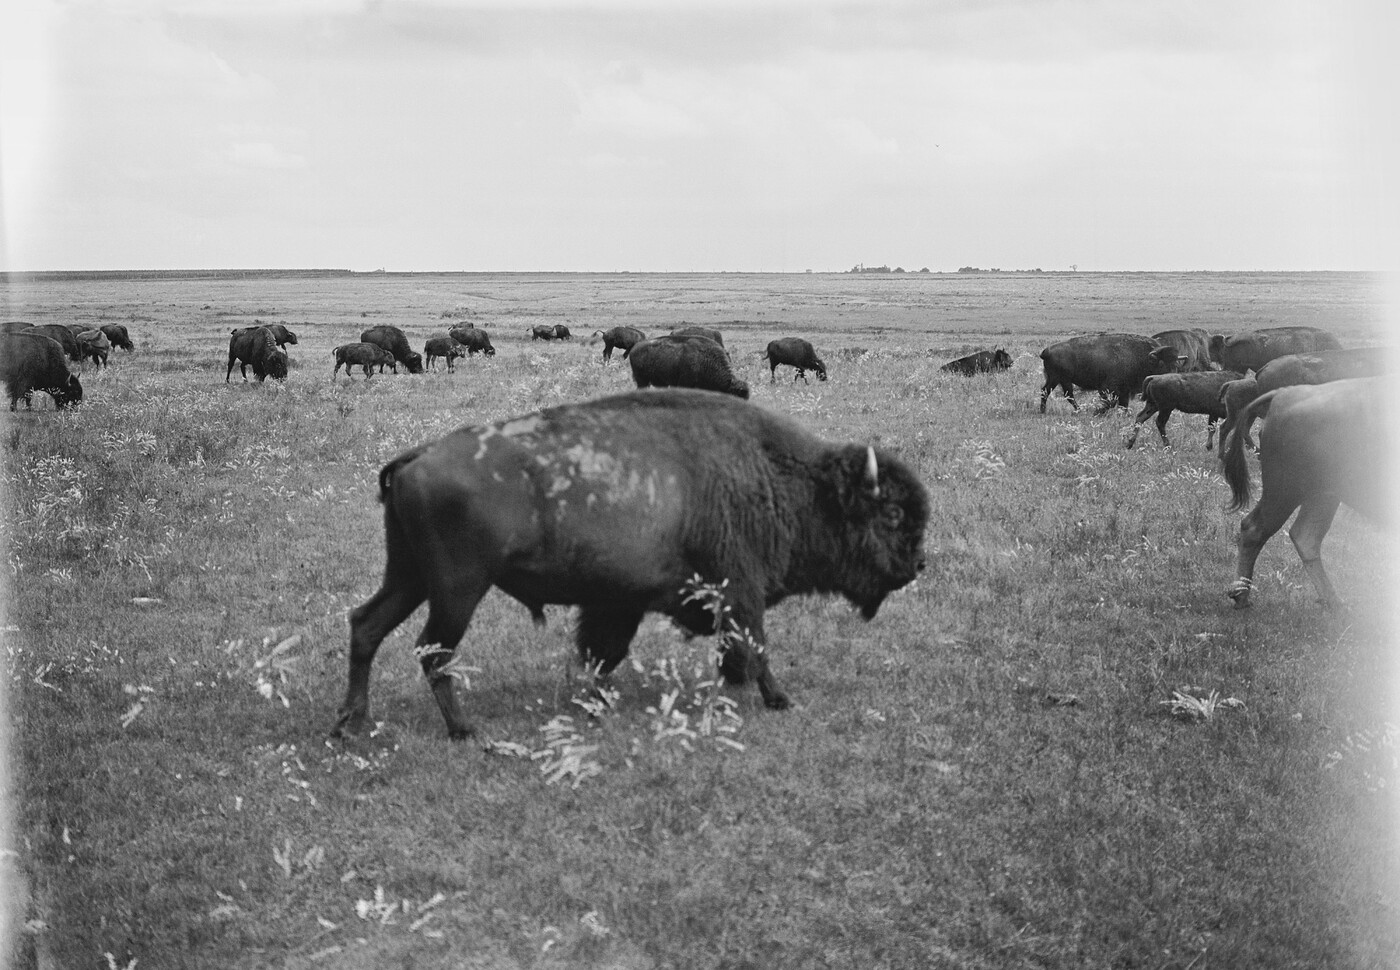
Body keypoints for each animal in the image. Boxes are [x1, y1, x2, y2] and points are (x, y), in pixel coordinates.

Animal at [331, 389, 931, 739]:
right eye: (893, 512)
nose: (918, 564)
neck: (779, 475)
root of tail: (414, 457)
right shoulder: (740, 590)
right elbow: (753, 646)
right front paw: (778, 699)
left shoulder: (620, 603)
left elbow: (604, 654)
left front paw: (594, 703)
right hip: (458, 588)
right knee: (433, 651)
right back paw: (462, 729)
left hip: (409, 576)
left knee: (367, 625)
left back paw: (352, 722)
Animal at [1039, 334, 1184, 413]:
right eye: (1162, 364)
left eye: (1176, 365)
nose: (1172, 380)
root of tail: (1046, 350)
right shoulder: (1108, 388)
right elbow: (1110, 402)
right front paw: (1097, 412)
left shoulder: (1125, 390)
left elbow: (1123, 405)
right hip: (1059, 379)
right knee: (1060, 394)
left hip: (1058, 380)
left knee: (1055, 393)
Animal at [1222, 378, 1389, 609]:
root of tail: (1284, 394)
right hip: (1285, 491)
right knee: (1254, 528)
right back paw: (1241, 596)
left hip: (1322, 496)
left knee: (1306, 536)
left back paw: (1336, 602)